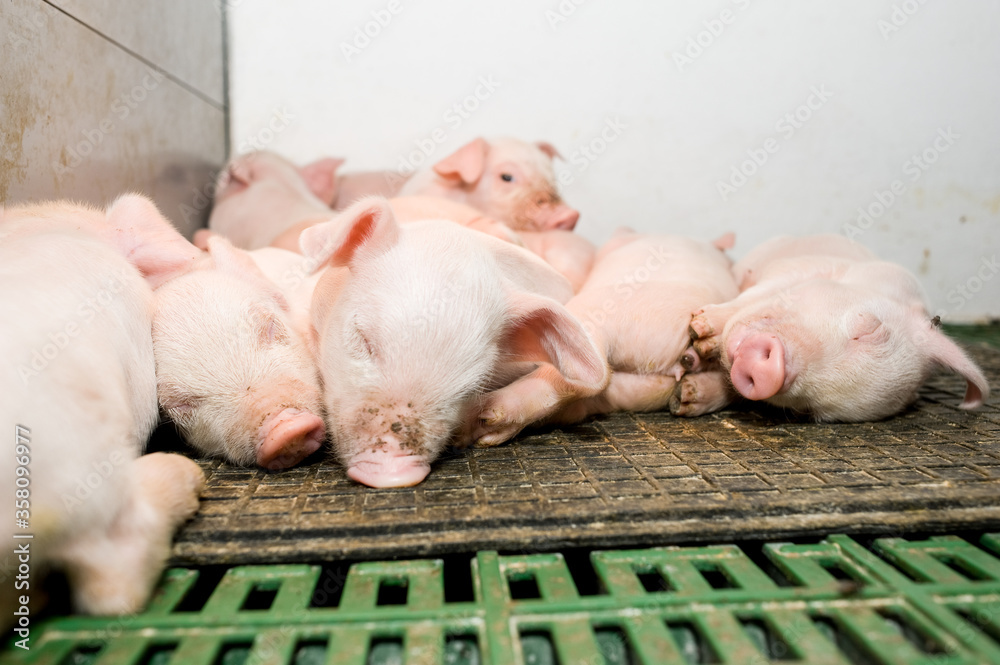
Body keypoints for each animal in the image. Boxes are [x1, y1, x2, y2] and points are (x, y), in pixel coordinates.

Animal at [686, 234, 990, 421]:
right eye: (869, 327)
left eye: (810, 412)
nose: (770, 374)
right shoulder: (809, 266)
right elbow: (764, 290)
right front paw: (701, 331)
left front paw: (688, 395)